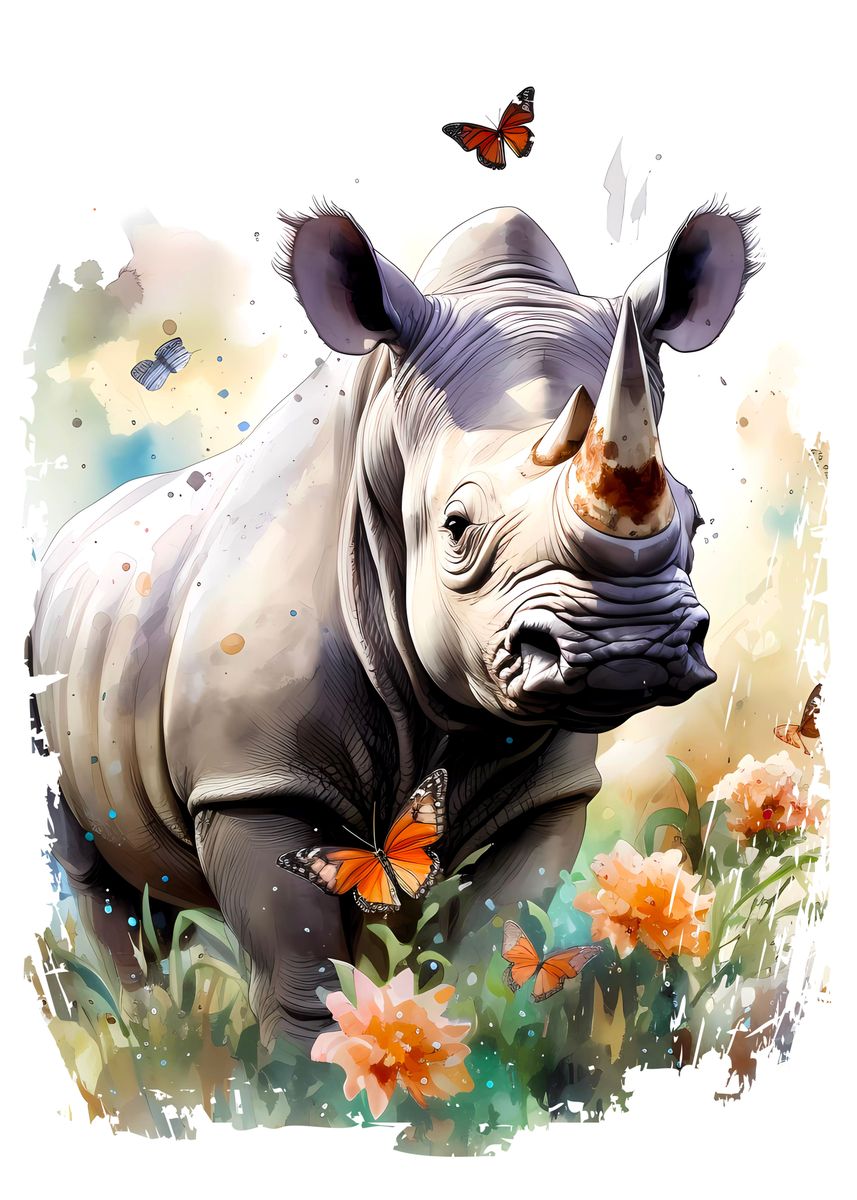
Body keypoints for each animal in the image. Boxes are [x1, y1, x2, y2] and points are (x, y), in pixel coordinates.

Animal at [31, 201, 759, 1046]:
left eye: (693, 514)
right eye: (456, 527)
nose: (629, 647)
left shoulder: (546, 798)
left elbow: (488, 947)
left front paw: (452, 1041)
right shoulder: (252, 782)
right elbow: (299, 966)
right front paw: (310, 1074)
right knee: (93, 871)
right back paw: (133, 1031)